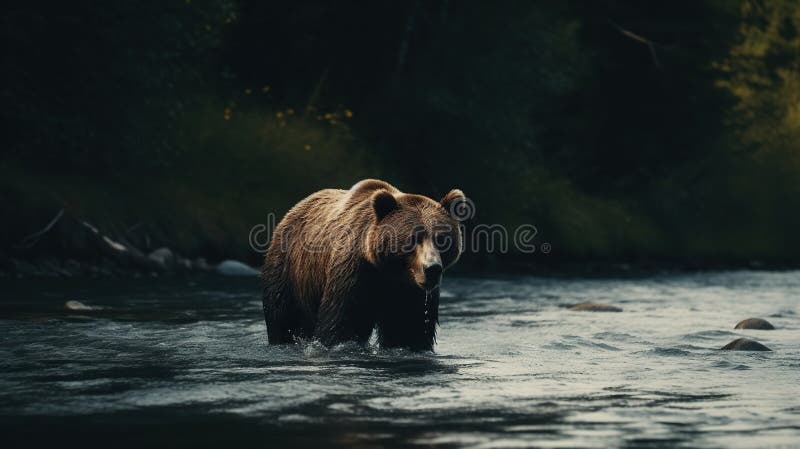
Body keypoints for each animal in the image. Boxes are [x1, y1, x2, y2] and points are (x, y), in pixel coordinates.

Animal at [262, 179, 465, 351]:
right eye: (413, 239)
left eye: (442, 239)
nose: (432, 269)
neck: (389, 272)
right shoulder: (354, 274)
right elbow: (342, 325)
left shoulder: (411, 291)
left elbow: (408, 330)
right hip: (288, 270)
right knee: (283, 318)